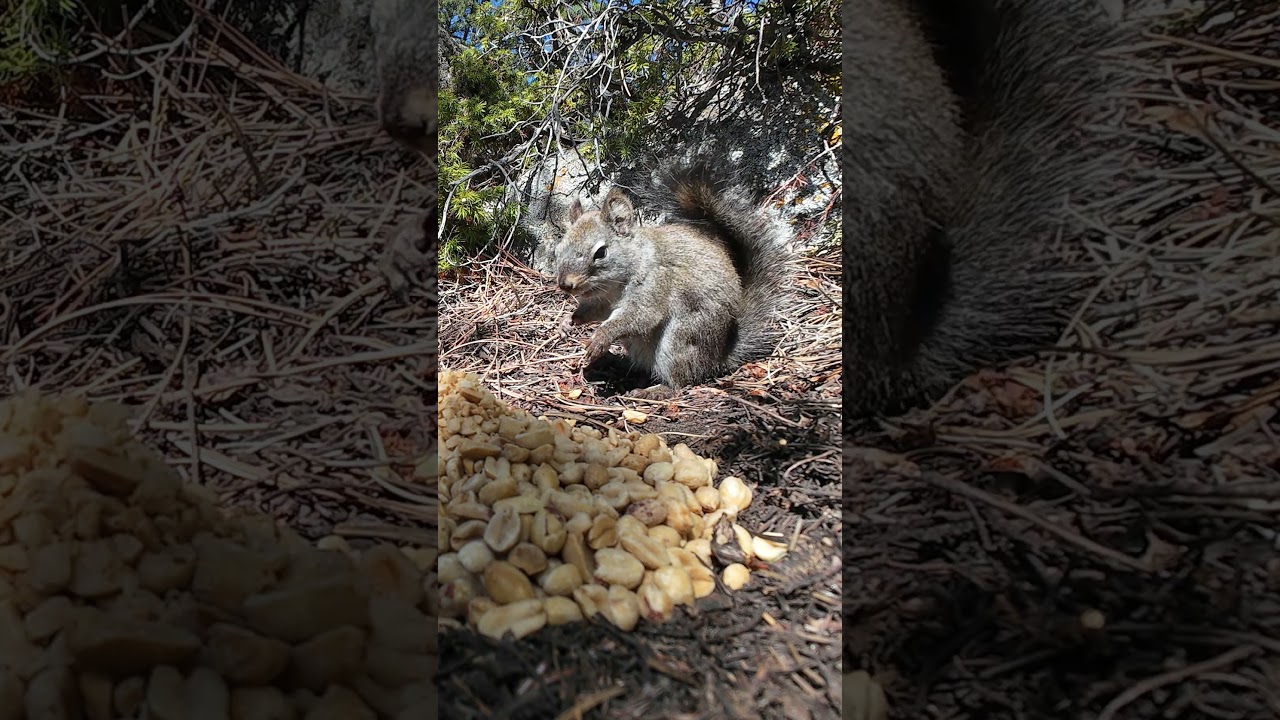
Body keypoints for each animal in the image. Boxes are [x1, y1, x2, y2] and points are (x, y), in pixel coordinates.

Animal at [553, 155, 790, 399]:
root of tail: (719, 357)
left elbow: (639, 317)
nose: (565, 285)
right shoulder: (601, 301)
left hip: (681, 340)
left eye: (601, 253)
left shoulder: (655, 284)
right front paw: (567, 322)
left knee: (681, 380)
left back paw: (653, 390)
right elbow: (594, 313)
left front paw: (600, 337)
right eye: (558, 250)